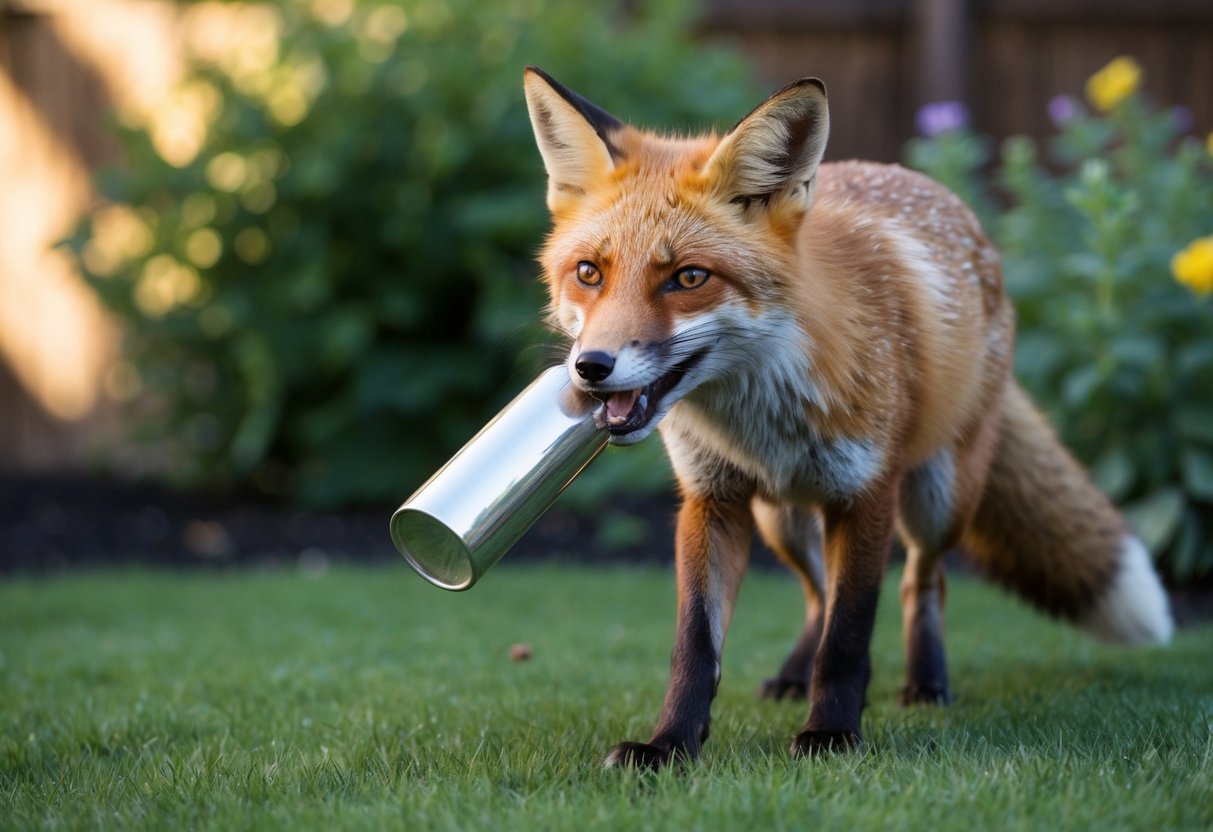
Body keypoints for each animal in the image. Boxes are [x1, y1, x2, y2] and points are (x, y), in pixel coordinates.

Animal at [522, 66, 1174, 769]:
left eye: (689, 278)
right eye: (589, 272)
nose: (591, 367)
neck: (763, 410)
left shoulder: (866, 495)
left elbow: (849, 634)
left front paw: (831, 733)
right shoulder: (712, 499)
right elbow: (696, 646)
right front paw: (669, 744)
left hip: (937, 500)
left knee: (924, 583)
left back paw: (926, 683)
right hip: (780, 518)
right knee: (815, 595)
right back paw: (791, 676)